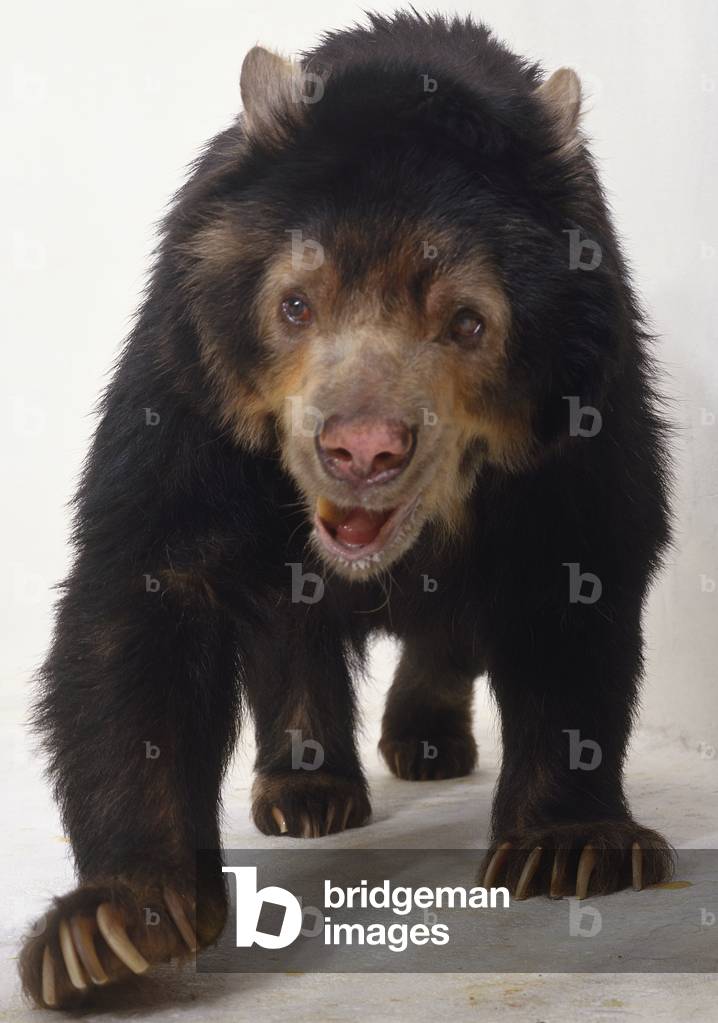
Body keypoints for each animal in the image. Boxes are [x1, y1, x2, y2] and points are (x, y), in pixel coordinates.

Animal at [20, 10, 674, 1009]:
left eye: (469, 323)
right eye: (294, 305)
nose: (362, 450)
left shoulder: (580, 419)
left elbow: (575, 579)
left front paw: (570, 848)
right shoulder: (185, 387)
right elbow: (145, 596)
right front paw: (108, 930)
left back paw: (425, 740)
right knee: (289, 628)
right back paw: (307, 788)